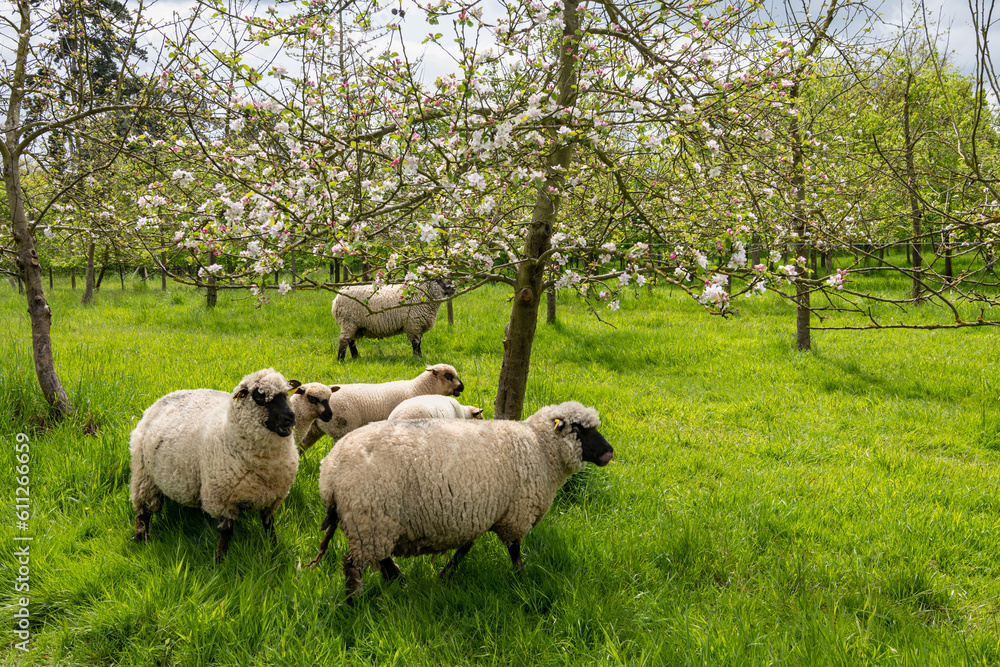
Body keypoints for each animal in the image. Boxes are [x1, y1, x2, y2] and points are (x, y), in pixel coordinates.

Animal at [129, 368, 301, 562]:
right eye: (259, 397)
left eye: (286, 394)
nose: (290, 417)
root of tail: (161, 400)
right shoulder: (223, 499)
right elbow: (226, 532)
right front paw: (220, 560)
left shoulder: (273, 498)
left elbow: (269, 525)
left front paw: (274, 546)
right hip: (143, 475)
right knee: (142, 512)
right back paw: (141, 538)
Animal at [297, 363, 466, 452]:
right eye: (448, 375)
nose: (462, 387)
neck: (420, 388)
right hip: (341, 428)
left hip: (314, 429)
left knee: (301, 447)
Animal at [307, 401, 614, 601]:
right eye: (580, 429)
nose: (609, 452)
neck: (538, 447)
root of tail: (331, 472)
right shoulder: (515, 513)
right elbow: (514, 550)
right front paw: (521, 577)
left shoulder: (480, 512)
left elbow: (466, 546)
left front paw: (446, 573)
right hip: (369, 518)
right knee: (353, 565)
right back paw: (355, 603)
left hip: (375, 522)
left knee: (380, 558)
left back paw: (399, 581)